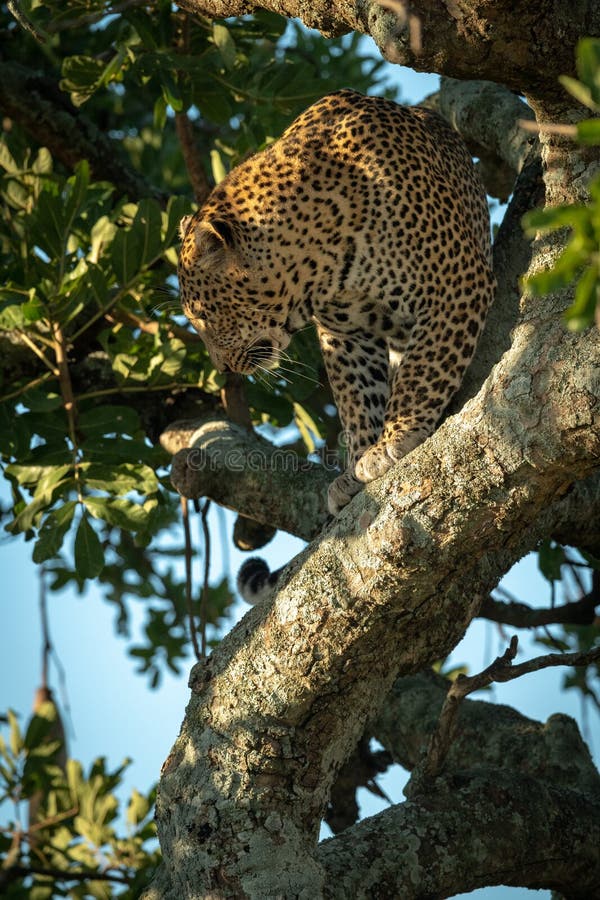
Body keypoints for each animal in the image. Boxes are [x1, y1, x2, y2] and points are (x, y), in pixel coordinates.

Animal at [178, 89, 495, 596]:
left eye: (204, 316)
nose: (222, 368)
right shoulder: (345, 333)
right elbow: (358, 399)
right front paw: (357, 464)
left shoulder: (455, 283)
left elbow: (423, 372)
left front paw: (394, 440)